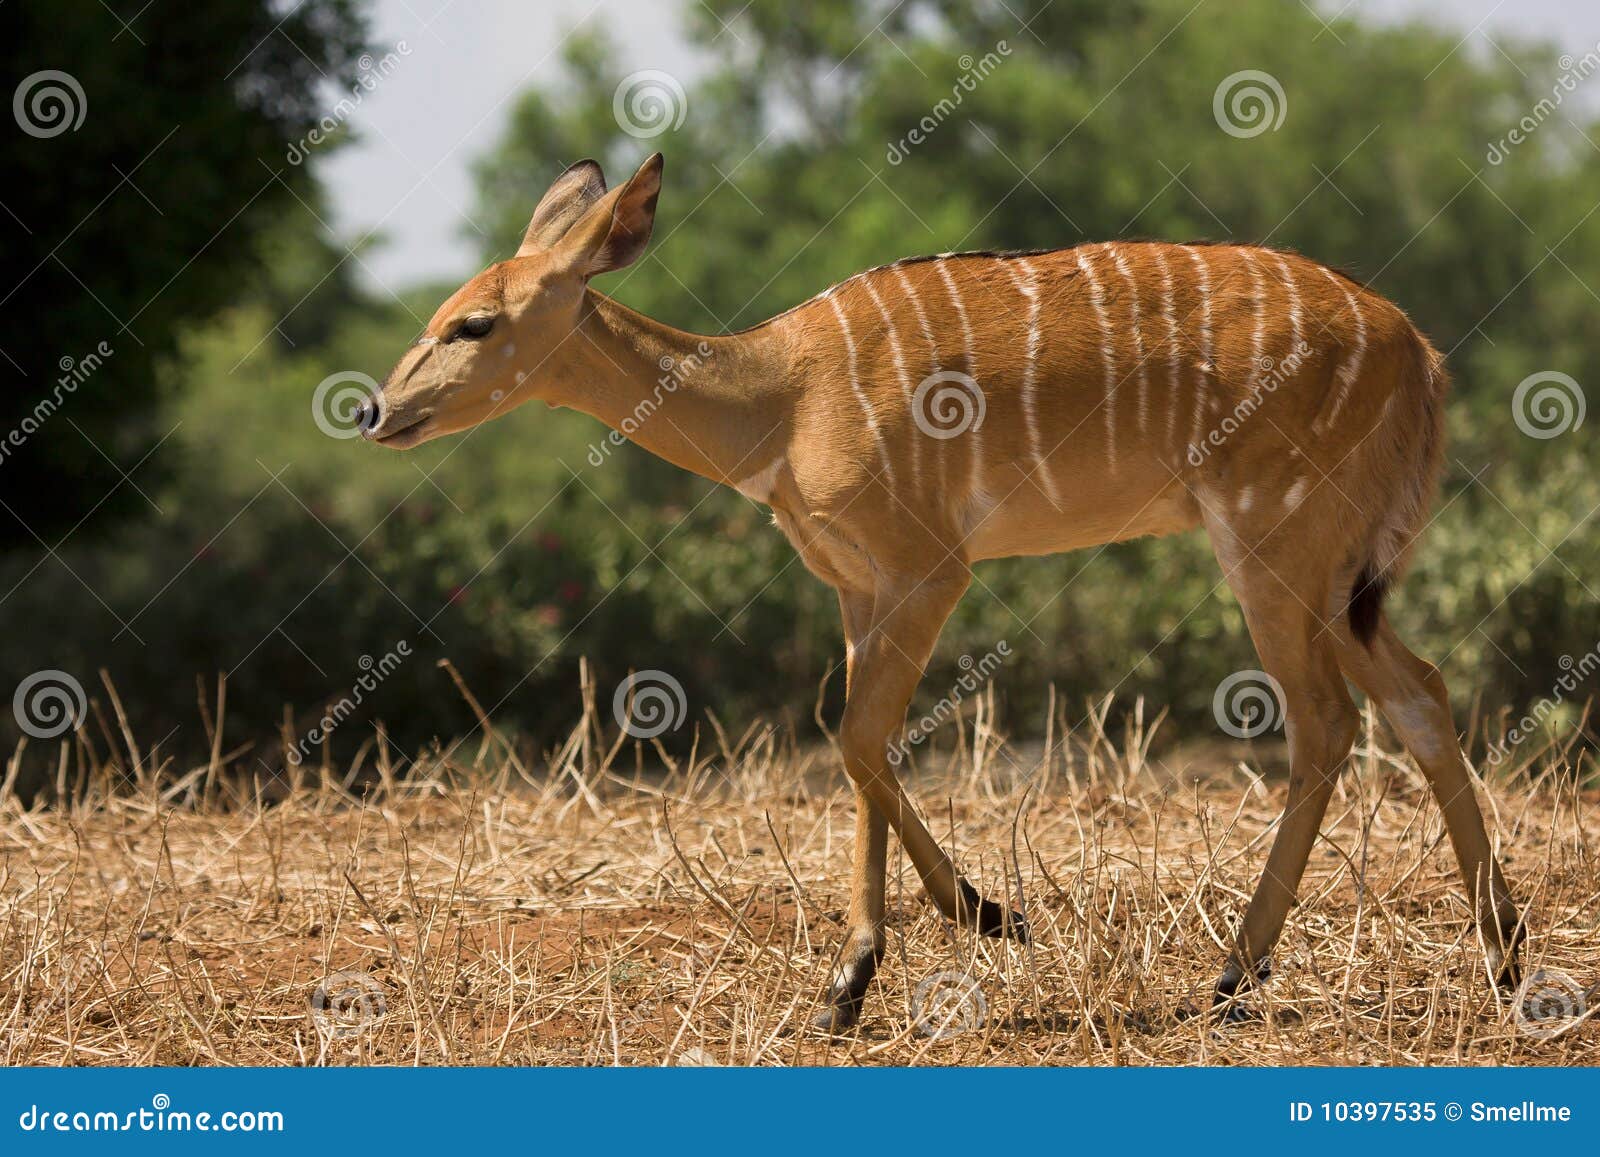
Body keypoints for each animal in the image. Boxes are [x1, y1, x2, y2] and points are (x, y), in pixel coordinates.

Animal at [361, 153, 1525, 1031]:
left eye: (474, 323)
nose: (375, 410)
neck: (780, 397)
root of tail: (1421, 355)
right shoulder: (855, 587)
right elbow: (861, 752)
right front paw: (849, 985)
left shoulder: (930, 566)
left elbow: (856, 740)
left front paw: (986, 917)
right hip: (1338, 576)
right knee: (1420, 693)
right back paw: (1505, 956)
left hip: (1273, 541)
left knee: (1327, 721)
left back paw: (1235, 976)